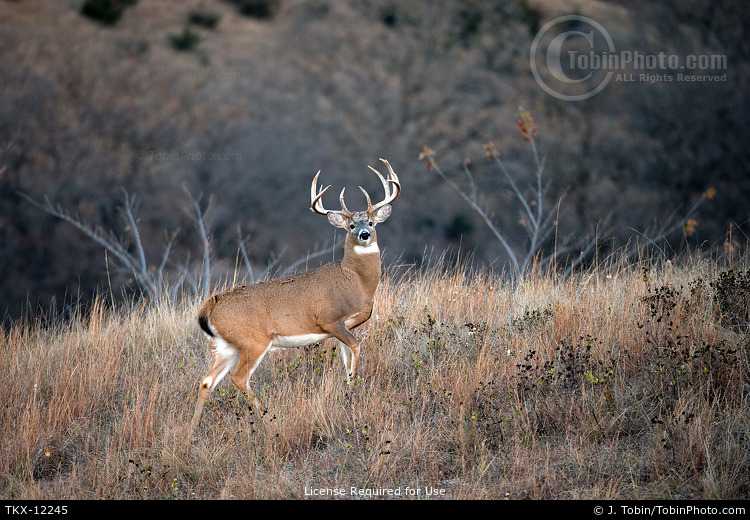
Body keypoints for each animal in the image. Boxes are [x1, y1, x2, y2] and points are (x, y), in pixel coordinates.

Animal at [189, 159, 400, 435]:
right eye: (352, 225)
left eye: (372, 223)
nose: (364, 235)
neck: (356, 280)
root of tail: (211, 306)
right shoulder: (330, 319)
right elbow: (355, 349)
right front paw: (351, 396)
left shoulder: (344, 326)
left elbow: (347, 359)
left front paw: (347, 395)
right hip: (254, 340)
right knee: (239, 378)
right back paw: (268, 417)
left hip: (226, 345)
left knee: (207, 380)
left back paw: (191, 430)